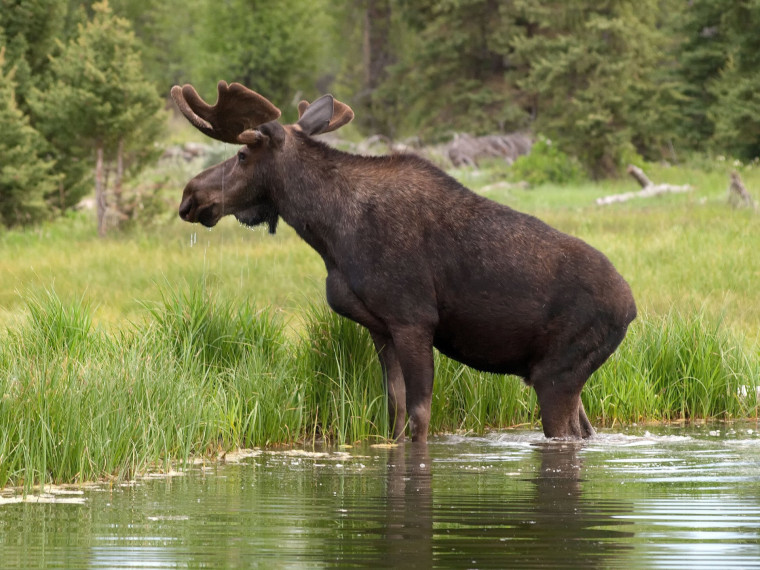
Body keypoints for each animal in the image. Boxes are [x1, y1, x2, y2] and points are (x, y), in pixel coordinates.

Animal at [171, 81, 637, 443]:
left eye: (242, 155)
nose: (190, 195)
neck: (330, 233)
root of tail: (631, 309)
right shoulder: (381, 328)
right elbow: (393, 412)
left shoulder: (413, 319)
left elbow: (419, 417)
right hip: (567, 378)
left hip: (555, 375)